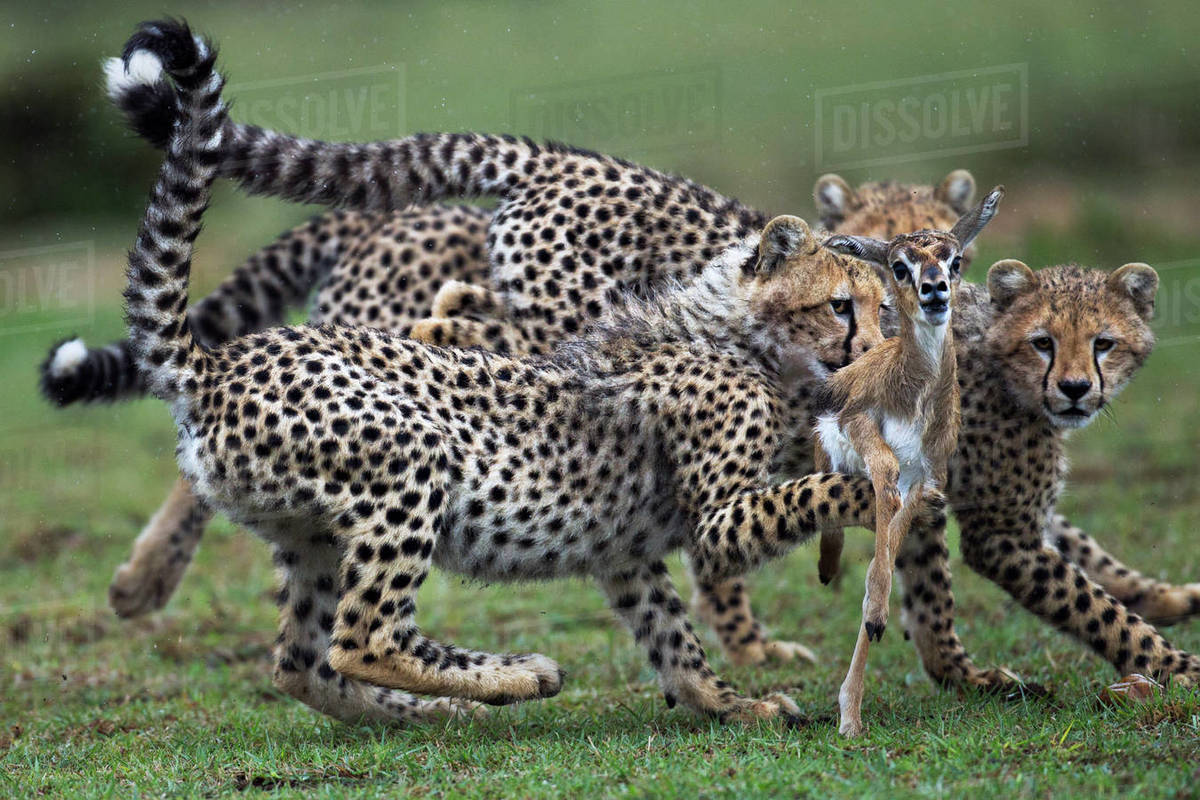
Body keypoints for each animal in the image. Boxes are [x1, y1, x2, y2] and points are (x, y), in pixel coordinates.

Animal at [107, 20, 922, 725]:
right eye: (843, 305)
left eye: (889, 307)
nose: (887, 350)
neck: (744, 337)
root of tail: (214, 363)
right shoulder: (713, 518)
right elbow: (802, 500)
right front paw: (886, 501)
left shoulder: (625, 550)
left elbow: (673, 640)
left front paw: (733, 704)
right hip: (409, 455)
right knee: (365, 638)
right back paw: (517, 675)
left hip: (310, 535)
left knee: (304, 663)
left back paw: (435, 708)